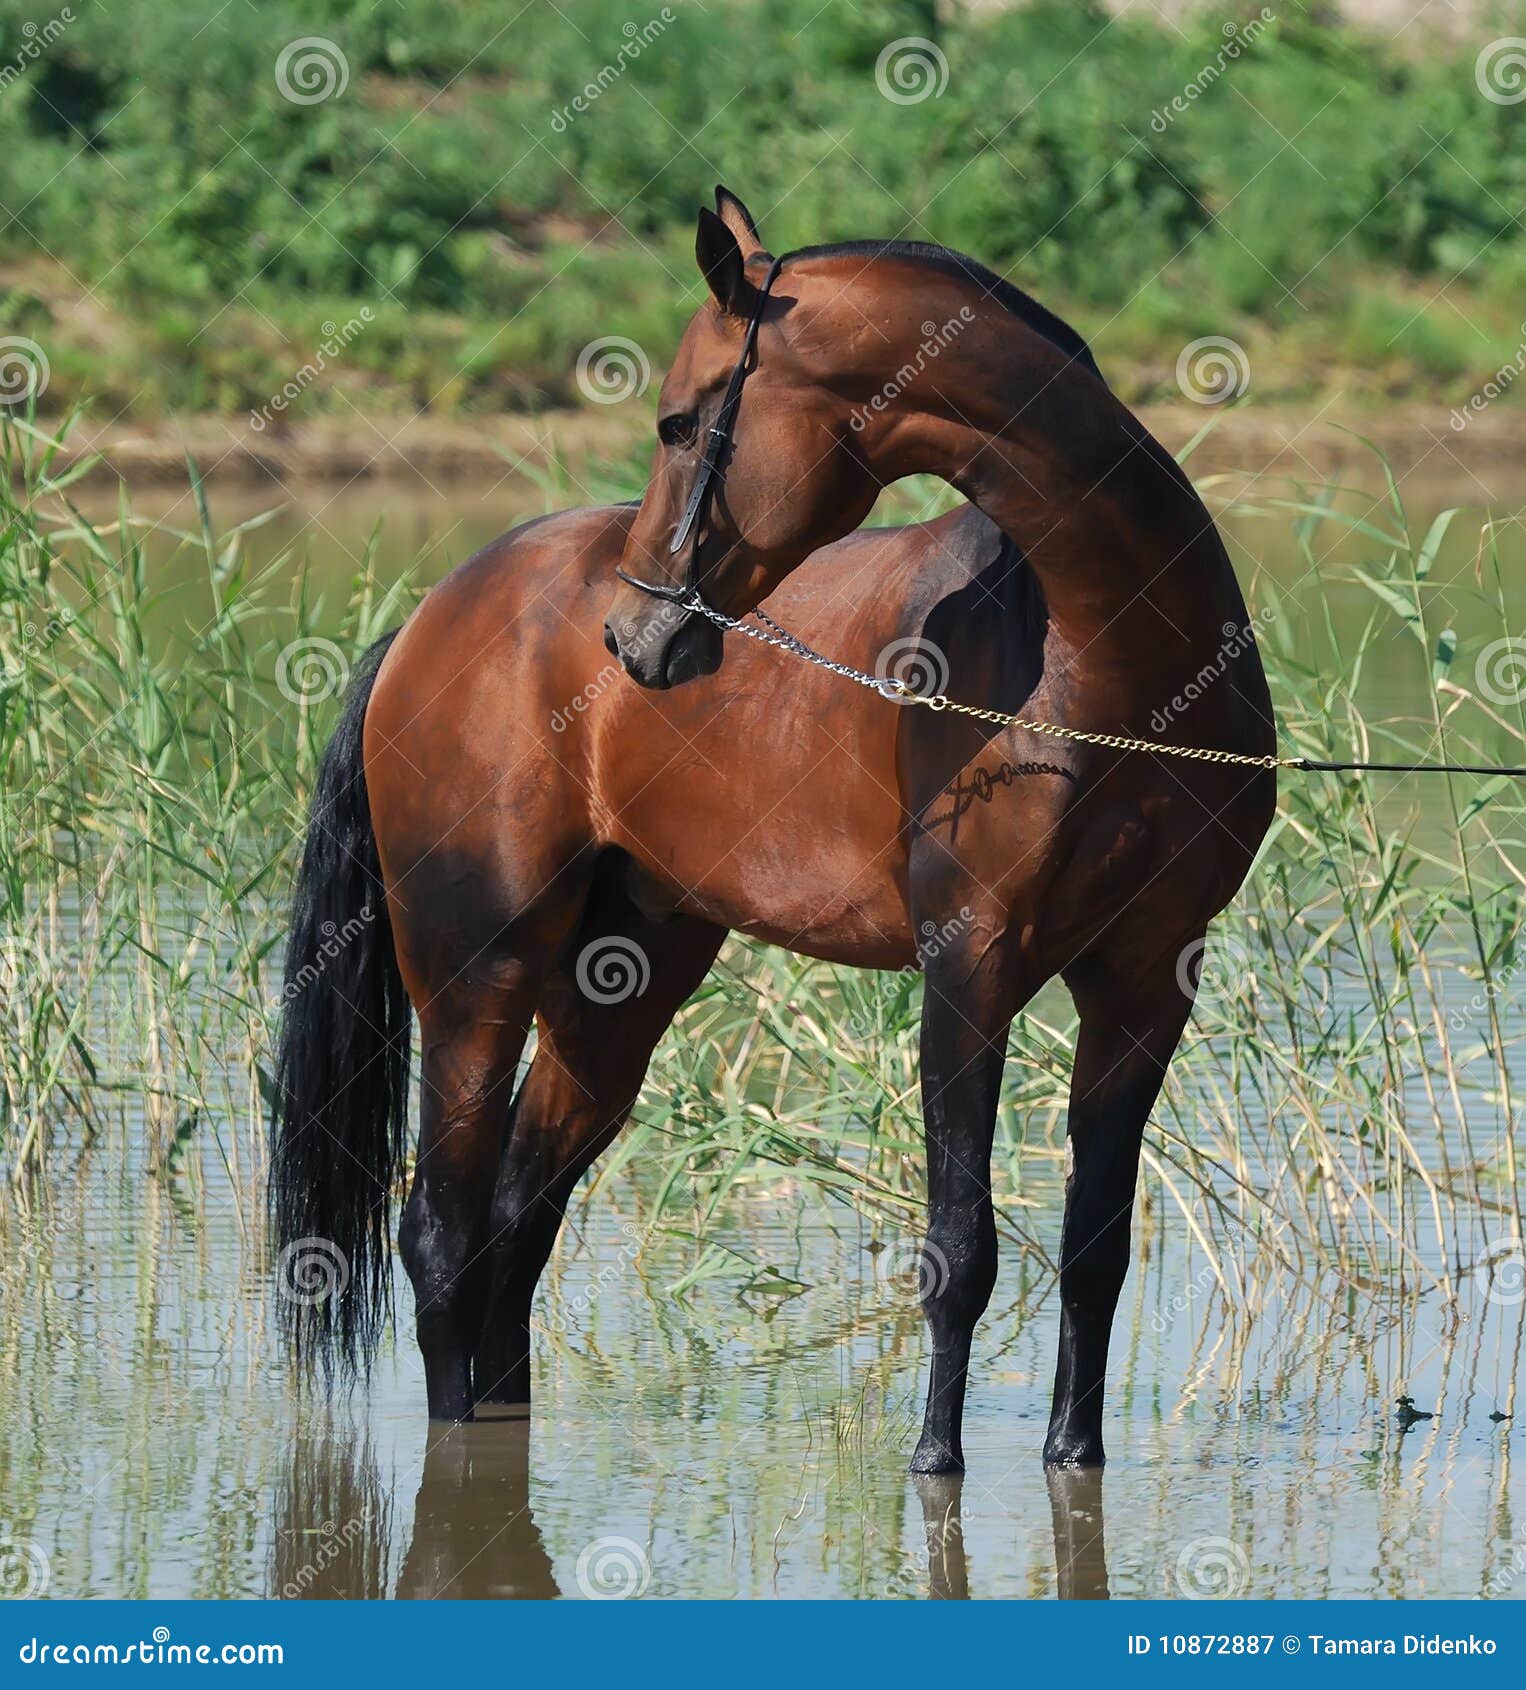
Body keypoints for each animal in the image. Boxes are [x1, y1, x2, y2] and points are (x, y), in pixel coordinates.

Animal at [271, 187, 1275, 1475]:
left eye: (680, 421)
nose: (635, 637)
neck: (1102, 655)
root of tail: (430, 619)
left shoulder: (1146, 980)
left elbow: (1093, 1252)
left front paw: (1071, 1458)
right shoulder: (970, 964)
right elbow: (961, 1249)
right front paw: (933, 1466)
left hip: (619, 987)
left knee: (513, 1226)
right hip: (471, 977)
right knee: (440, 1238)